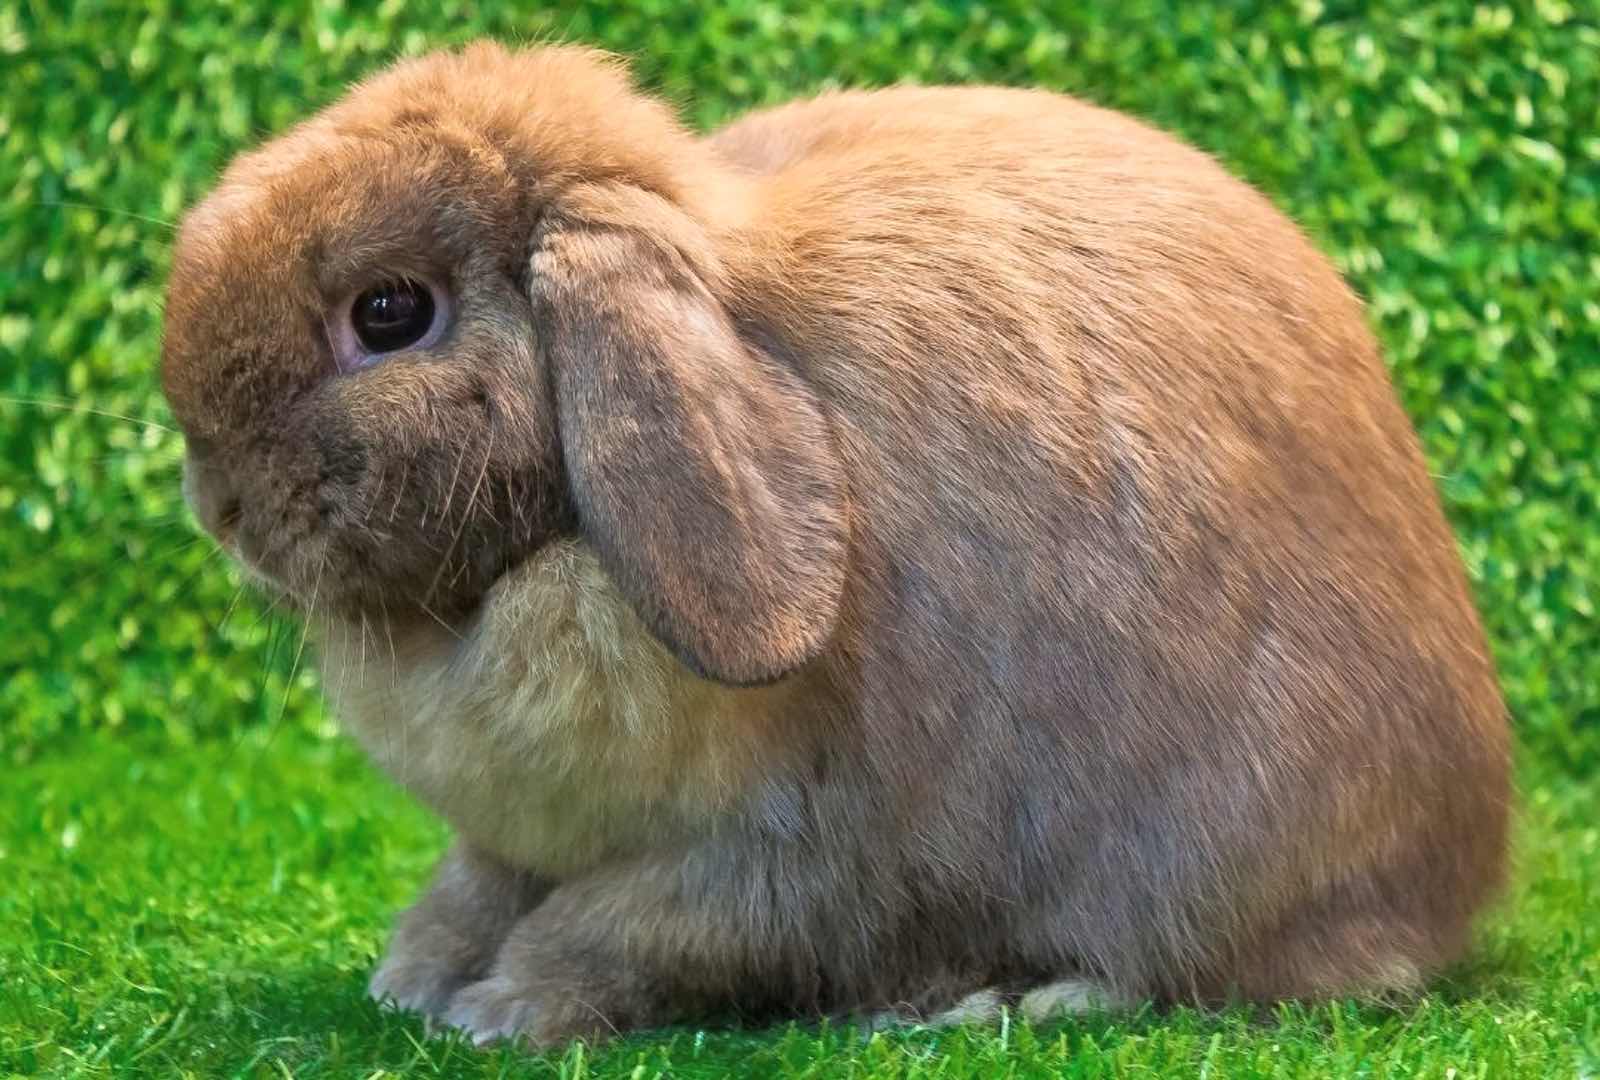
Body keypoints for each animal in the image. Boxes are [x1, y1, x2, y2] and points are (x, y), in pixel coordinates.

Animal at [161, 42, 1512, 1046]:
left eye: (390, 312)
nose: (217, 505)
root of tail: (1460, 863)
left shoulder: (787, 850)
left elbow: (616, 926)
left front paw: (498, 1011)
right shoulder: (516, 836)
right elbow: (473, 885)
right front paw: (408, 981)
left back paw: (1012, 999)